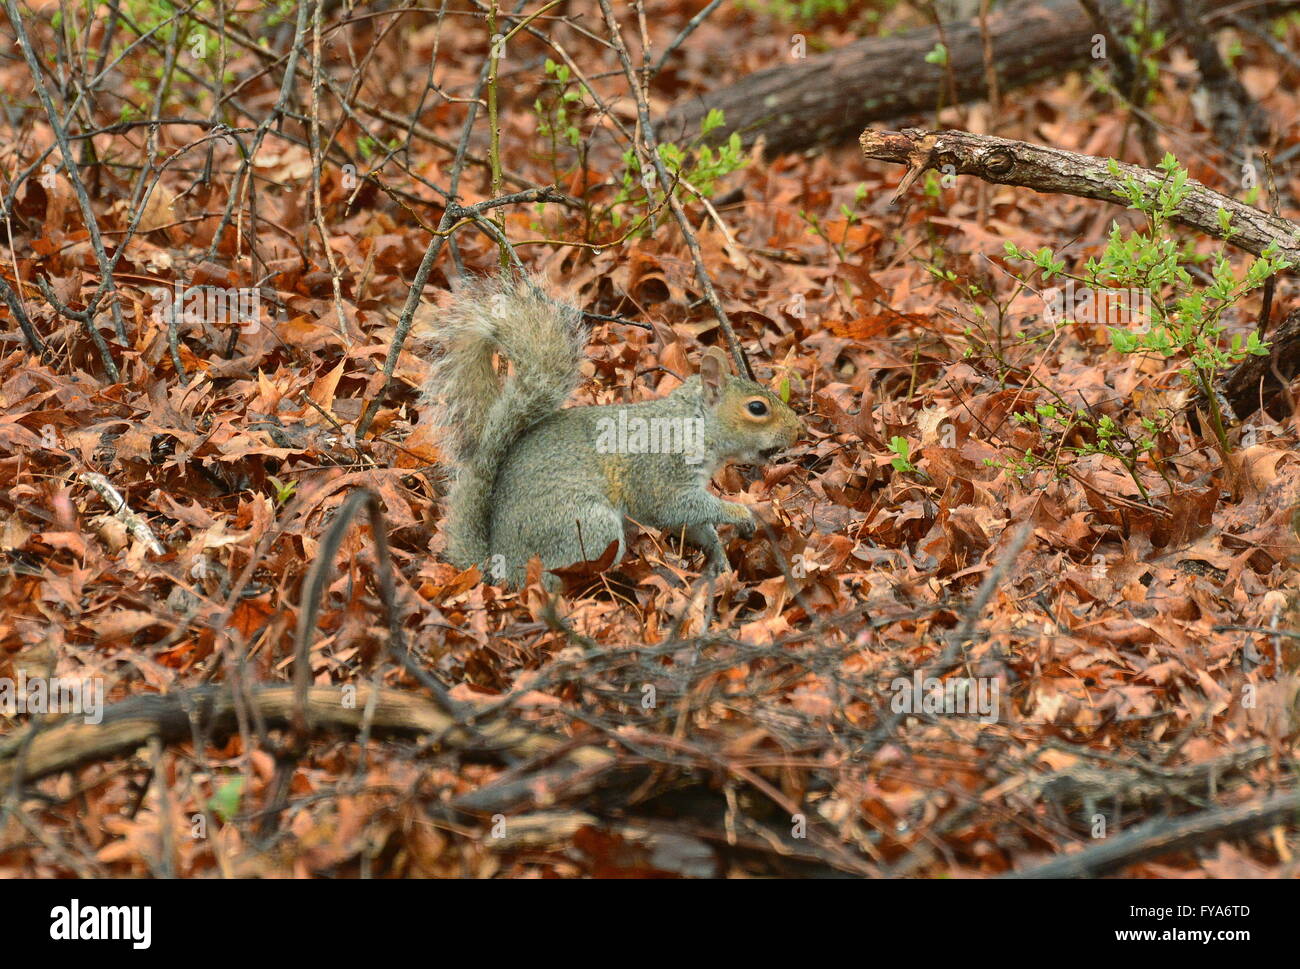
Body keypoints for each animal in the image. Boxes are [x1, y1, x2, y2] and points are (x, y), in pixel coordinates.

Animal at [420, 274, 802, 590]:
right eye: (757, 408)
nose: (799, 430)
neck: (693, 424)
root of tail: (500, 565)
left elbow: (694, 523)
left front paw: (719, 555)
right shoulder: (662, 473)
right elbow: (675, 507)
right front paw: (741, 513)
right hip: (586, 526)